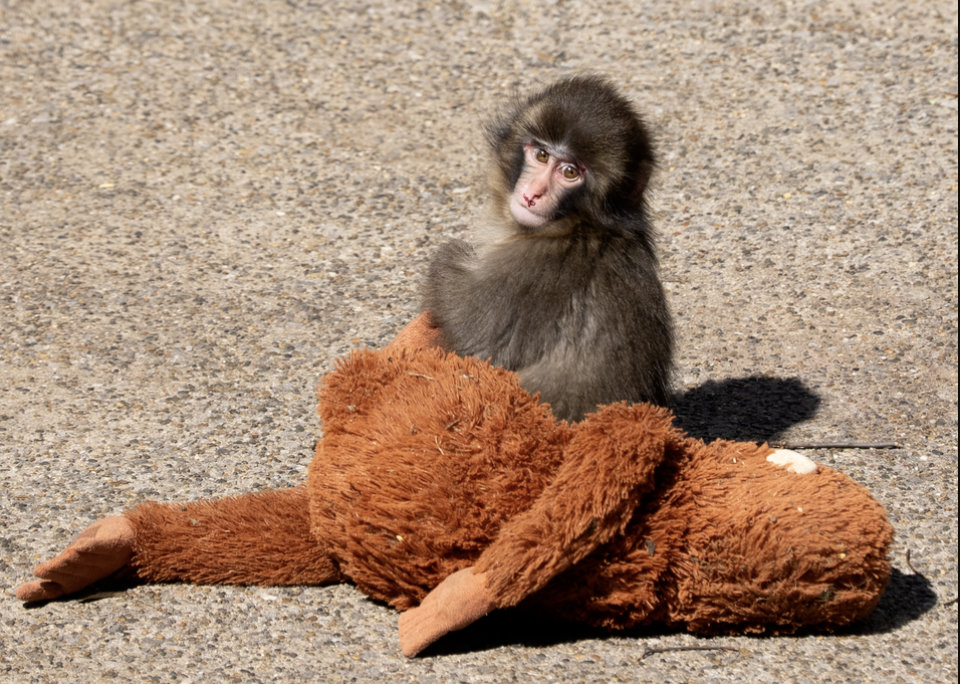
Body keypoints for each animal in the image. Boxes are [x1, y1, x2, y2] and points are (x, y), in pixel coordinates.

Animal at [423, 75, 673, 422]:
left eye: (570, 172)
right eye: (541, 155)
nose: (532, 194)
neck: (578, 226)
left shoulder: (529, 271)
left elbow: (473, 343)